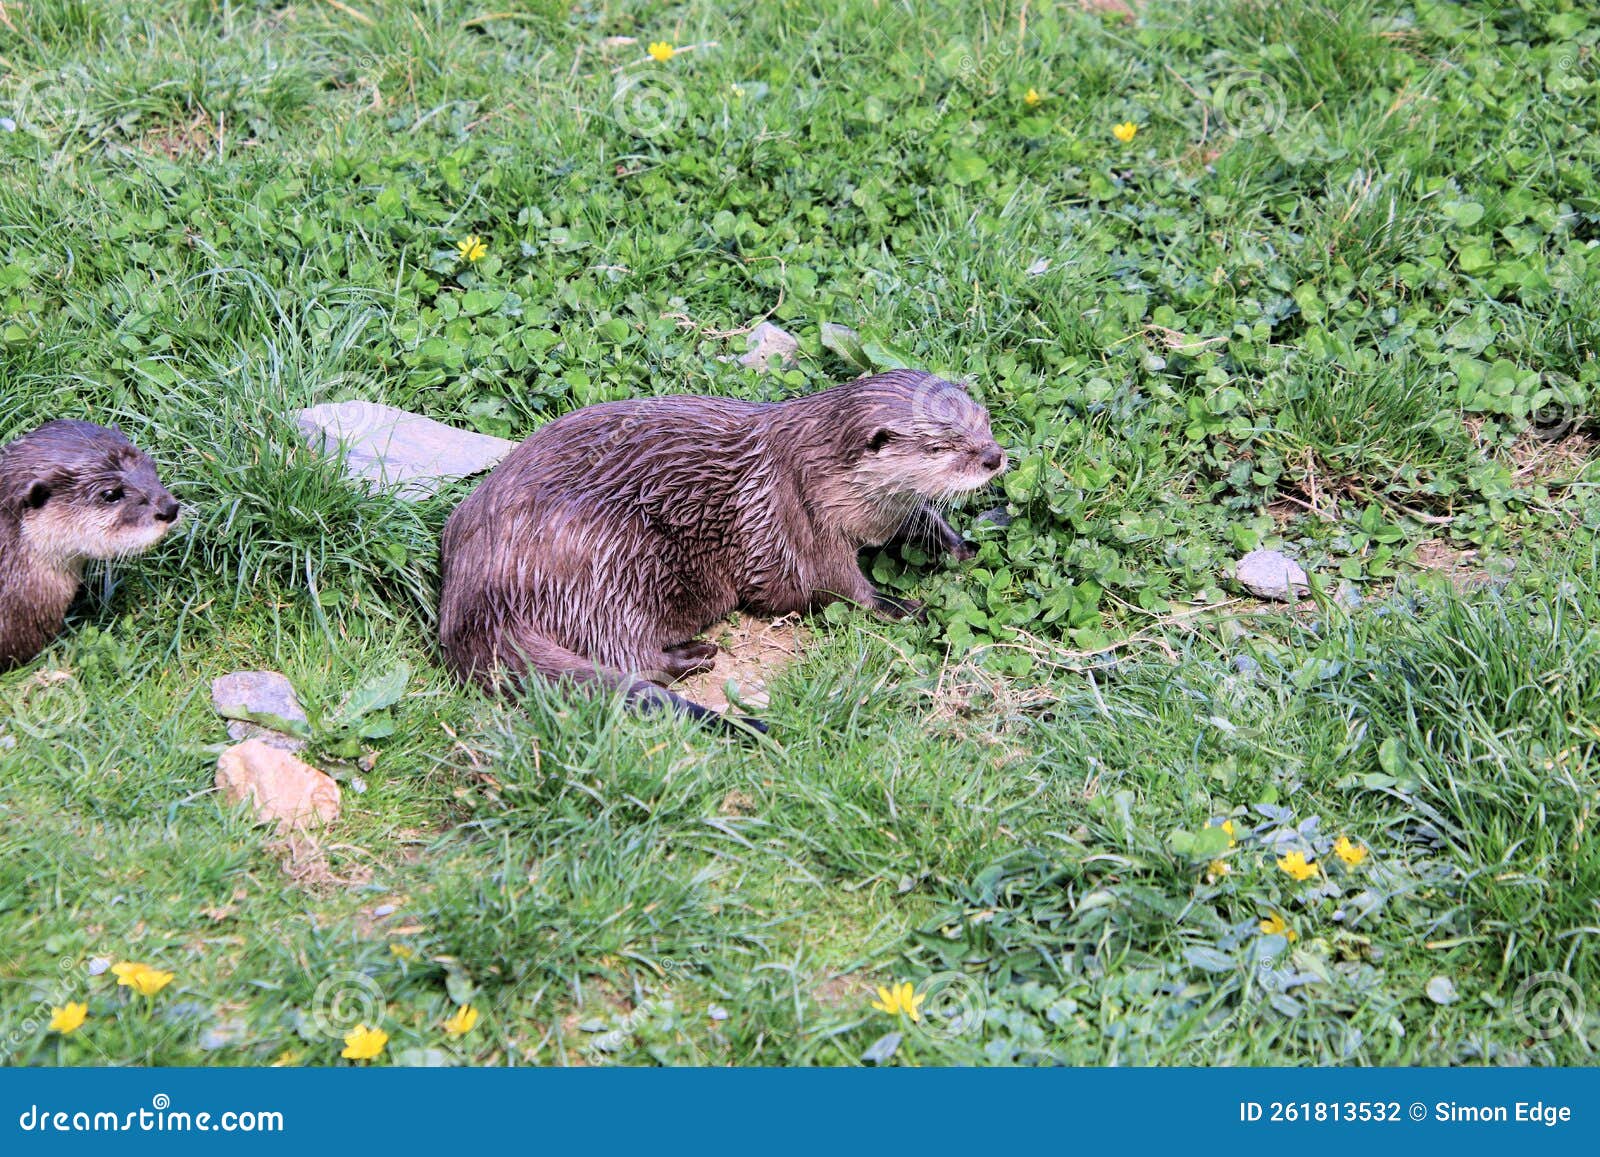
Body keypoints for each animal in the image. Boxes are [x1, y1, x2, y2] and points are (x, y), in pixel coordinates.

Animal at [439, 369, 1006, 730]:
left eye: (983, 421)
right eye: (940, 446)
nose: (994, 457)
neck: (829, 481)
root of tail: (475, 597)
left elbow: (922, 523)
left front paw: (961, 546)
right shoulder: (801, 522)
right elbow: (839, 589)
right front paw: (907, 608)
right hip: (608, 556)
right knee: (623, 650)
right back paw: (691, 656)